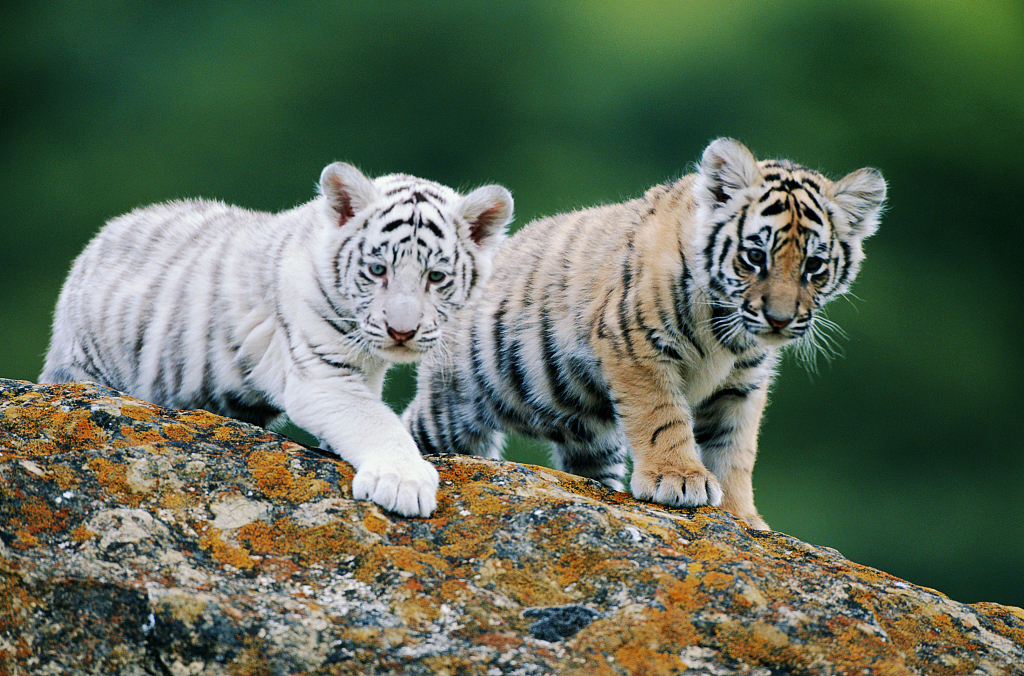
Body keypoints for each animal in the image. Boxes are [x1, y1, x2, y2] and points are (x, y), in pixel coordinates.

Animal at [40, 162, 514, 517]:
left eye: (436, 277)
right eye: (378, 270)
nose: (403, 331)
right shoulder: (321, 377)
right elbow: (376, 422)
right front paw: (403, 481)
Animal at [403, 137, 886, 530]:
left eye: (814, 266)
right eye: (754, 256)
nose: (779, 320)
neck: (728, 332)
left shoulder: (743, 383)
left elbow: (735, 448)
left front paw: (742, 516)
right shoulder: (637, 345)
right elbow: (662, 416)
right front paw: (679, 478)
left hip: (591, 438)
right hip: (456, 406)